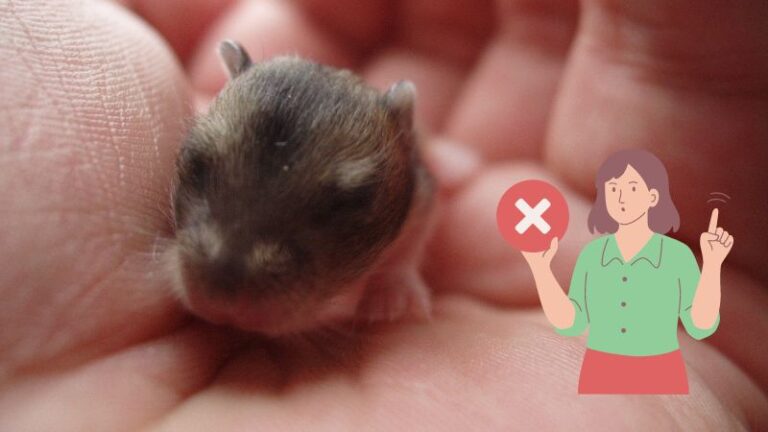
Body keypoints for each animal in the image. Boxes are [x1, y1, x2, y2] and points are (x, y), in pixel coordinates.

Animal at [168, 40, 437, 335]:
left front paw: (391, 301)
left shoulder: (422, 194)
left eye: (352, 201)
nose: (219, 304)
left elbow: (410, 243)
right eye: (196, 165)